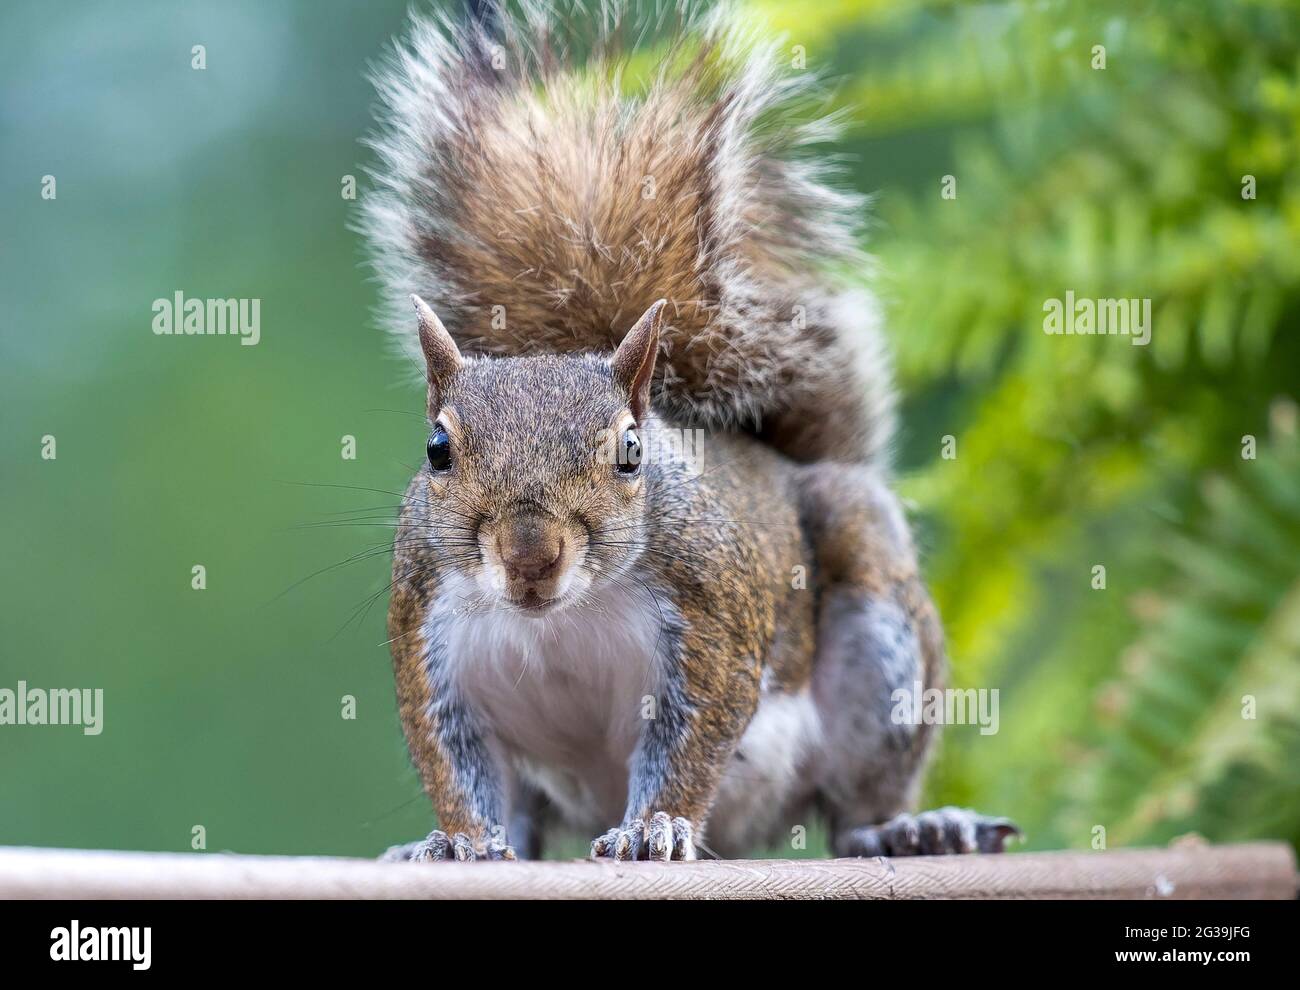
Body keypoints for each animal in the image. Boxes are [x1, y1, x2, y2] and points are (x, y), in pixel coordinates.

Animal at [364, 0, 1018, 862]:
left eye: (631, 451)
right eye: (437, 450)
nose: (530, 557)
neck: (558, 618)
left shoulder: (712, 616)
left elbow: (692, 739)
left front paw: (652, 829)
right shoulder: (428, 634)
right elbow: (453, 762)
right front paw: (459, 843)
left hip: (879, 634)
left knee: (851, 812)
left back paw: (911, 828)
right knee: (529, 819)